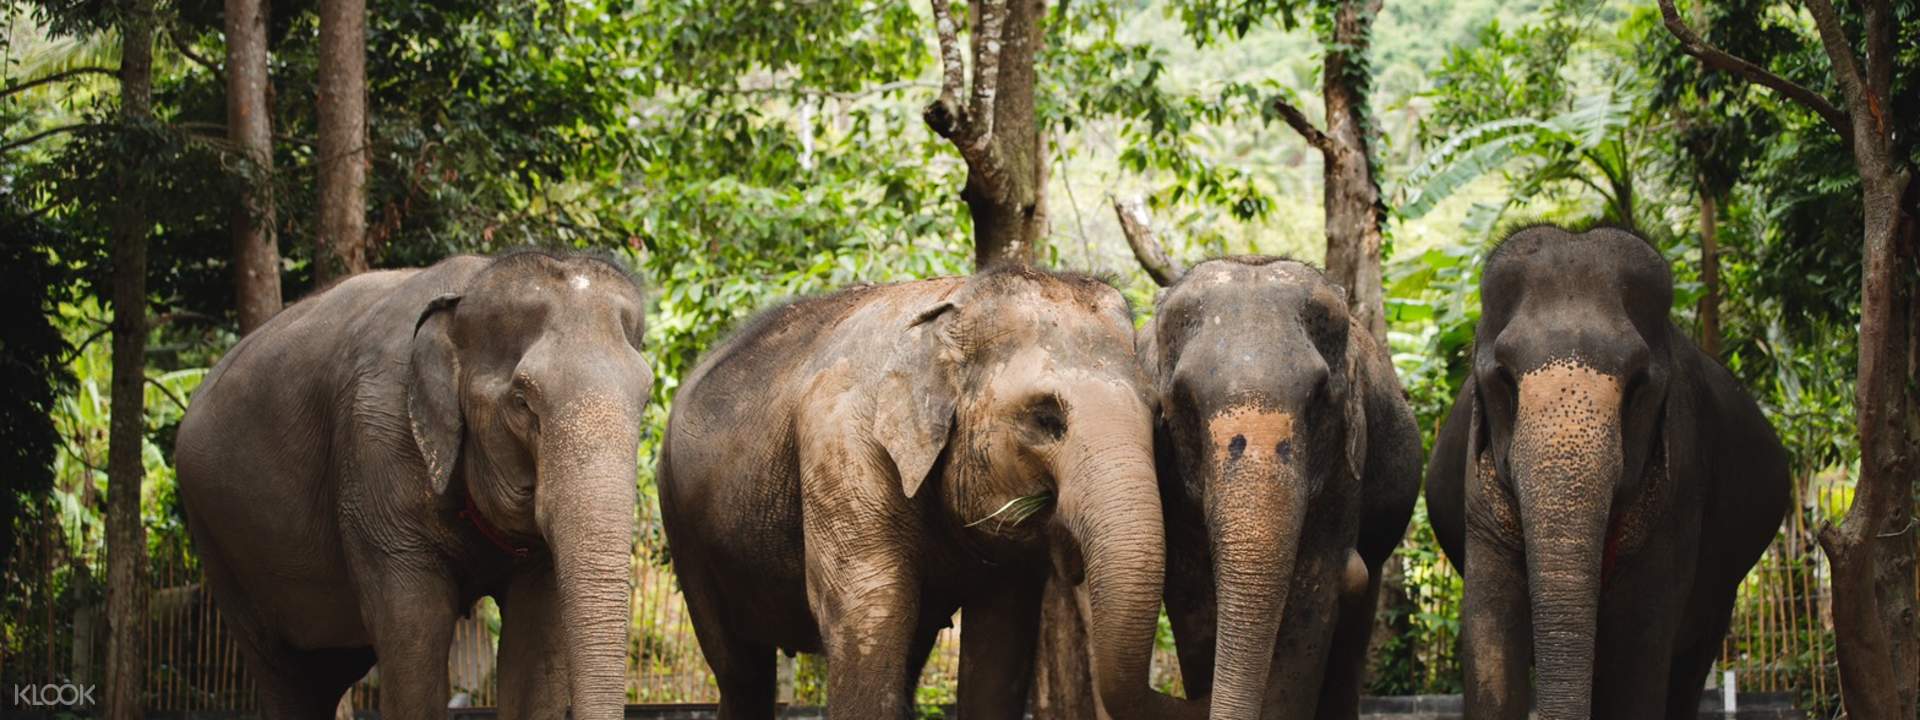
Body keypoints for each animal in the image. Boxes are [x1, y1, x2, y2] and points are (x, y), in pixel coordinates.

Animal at [174, 251, 653, 720]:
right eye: (521, 402)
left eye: (646, 398)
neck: (467, 291)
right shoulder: (375, 449)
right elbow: (415, 630)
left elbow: (535, 646)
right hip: (217, 539)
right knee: (284, 674)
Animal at [658, 266, 1195, 720]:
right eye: (1046, 418)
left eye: (1158, 418)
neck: (950, 302)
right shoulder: (843, 444)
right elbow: (873, 609)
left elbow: (1000, 637)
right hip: (684, 529)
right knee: (740, 669)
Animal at [1424, 224, 1790, 720]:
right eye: (1503, 376)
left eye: (1639, 384)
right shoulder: (1478, 497)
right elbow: (1491, 644)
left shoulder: (1679, 492)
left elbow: (1636, 655)